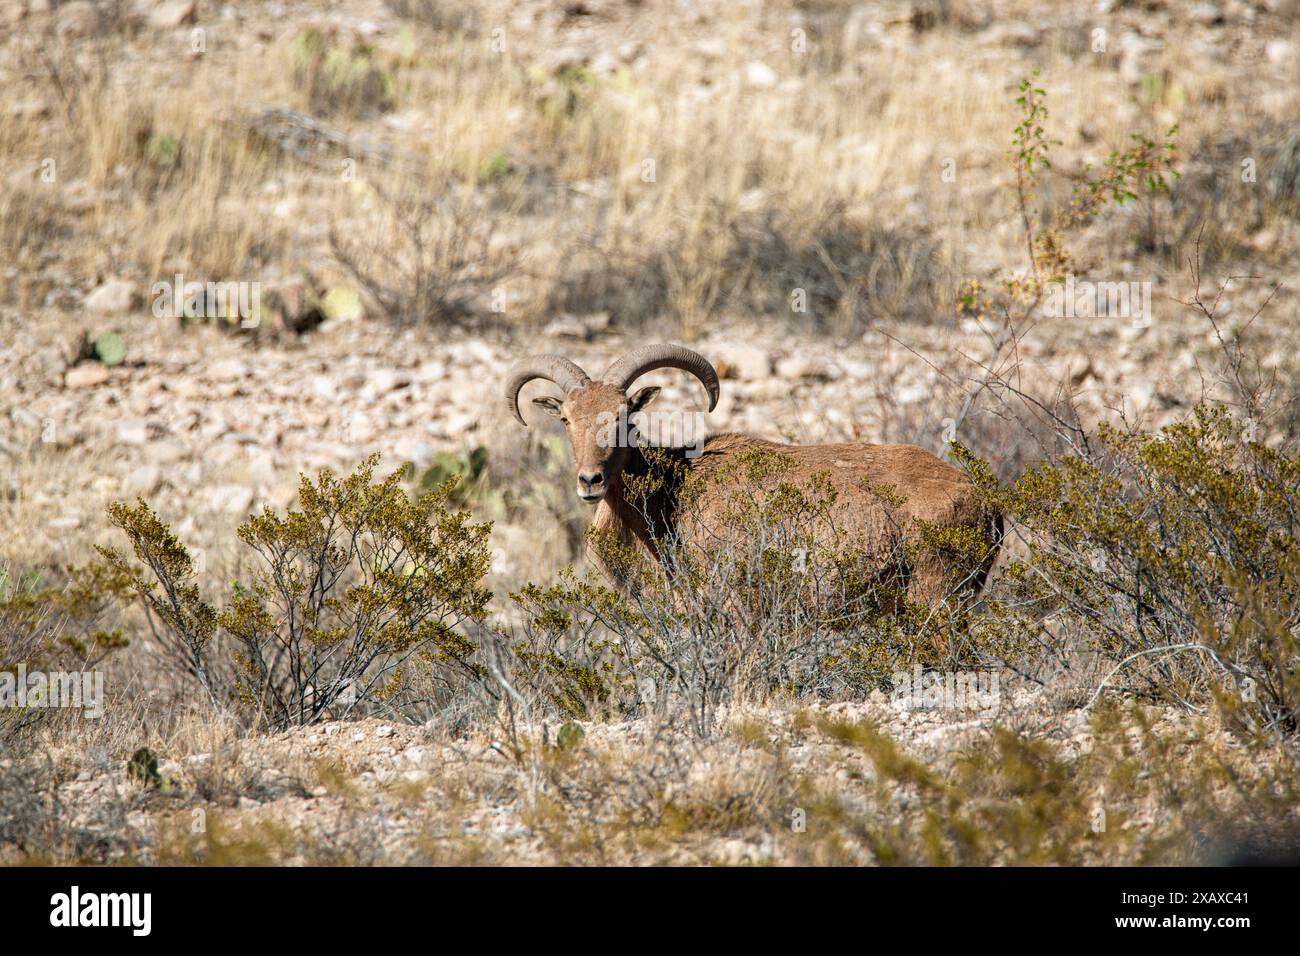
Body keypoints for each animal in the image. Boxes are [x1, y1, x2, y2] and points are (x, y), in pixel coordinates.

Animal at [505, 344, 1002, 606]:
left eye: (626, 414)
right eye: (566, 418)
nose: (590, 481)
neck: (672, 495)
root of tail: (987, 504)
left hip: (934, 589)